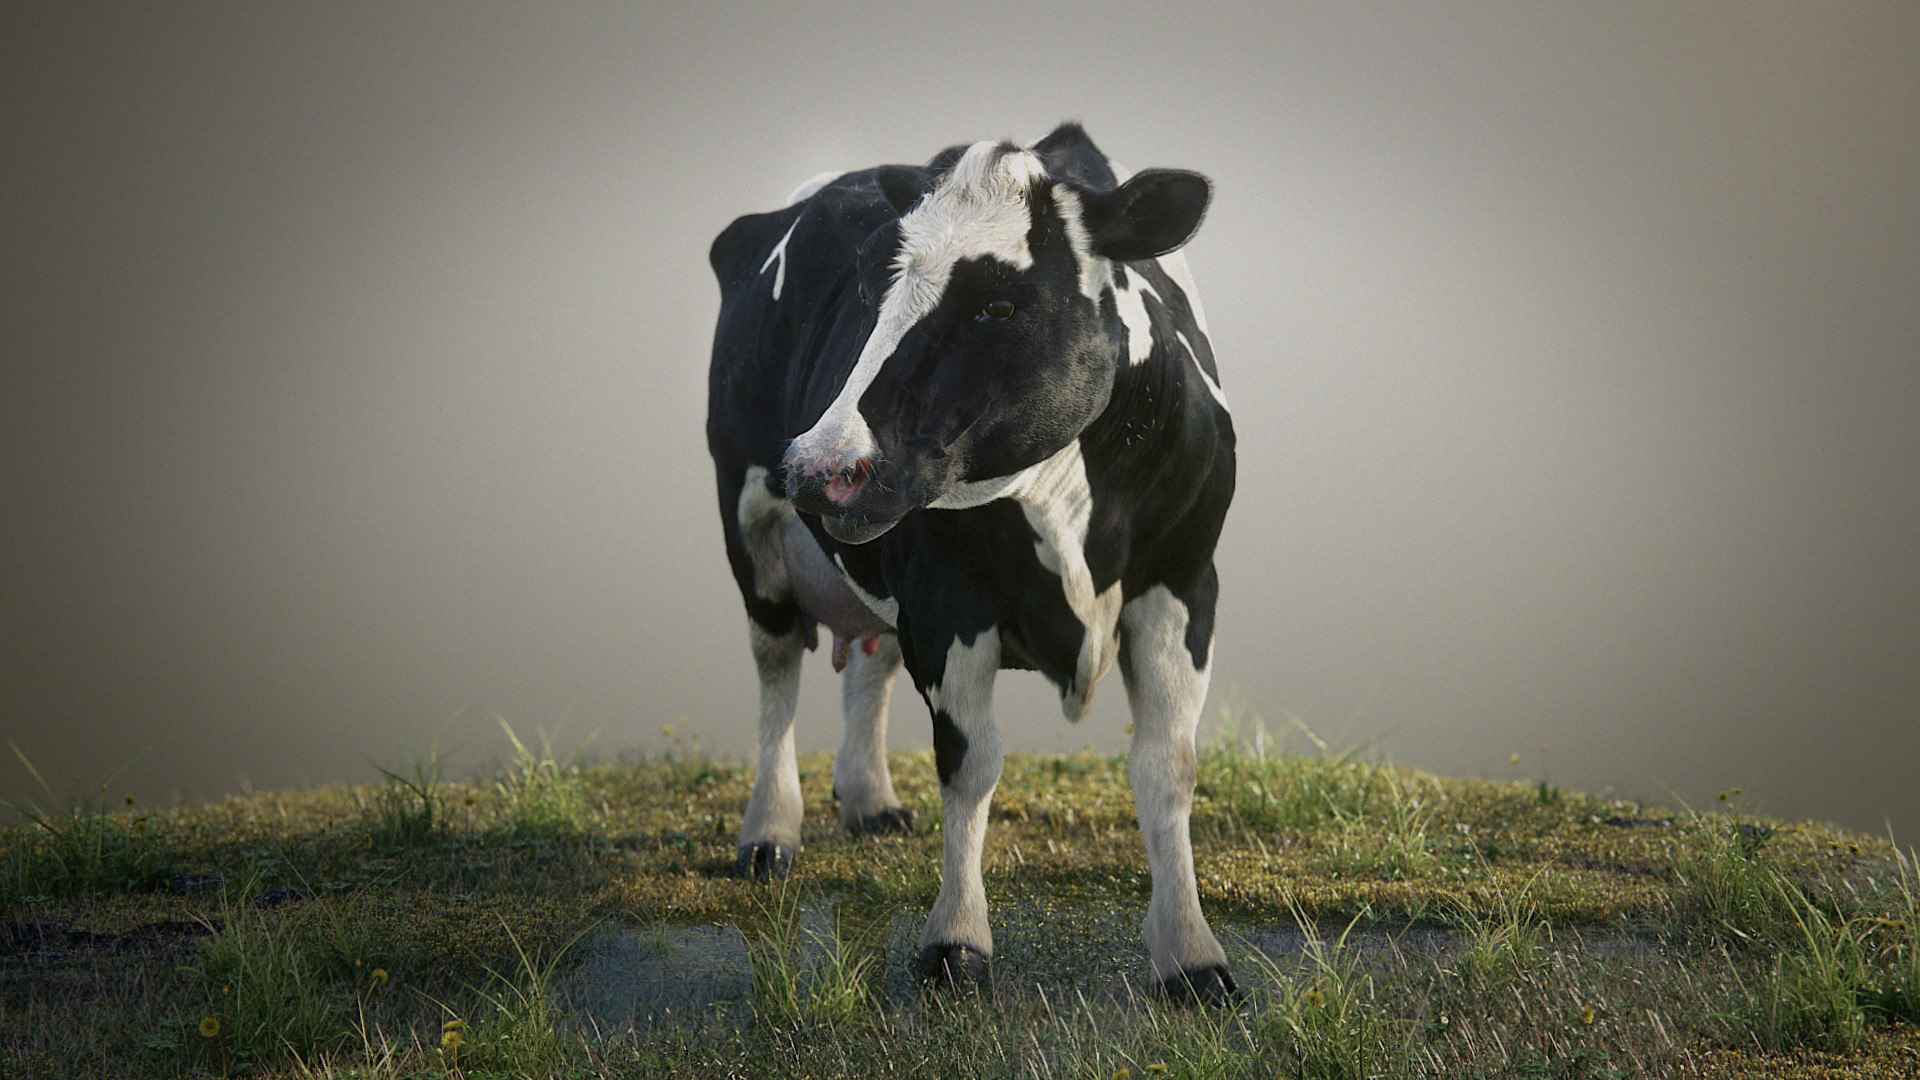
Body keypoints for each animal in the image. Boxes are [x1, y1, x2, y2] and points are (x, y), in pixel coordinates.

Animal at [705, 123, 1238, 1003]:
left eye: (999, 304)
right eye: (865, 292)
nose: (821, 466)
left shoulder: (1184, 583)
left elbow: (1168, 765)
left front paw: (1190, 953)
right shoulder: (946, 603)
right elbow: (970, 763)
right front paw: (956, 941)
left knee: (870, 664)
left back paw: (870, 801)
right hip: (748, 520)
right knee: (775, 669)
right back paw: (770, 832)